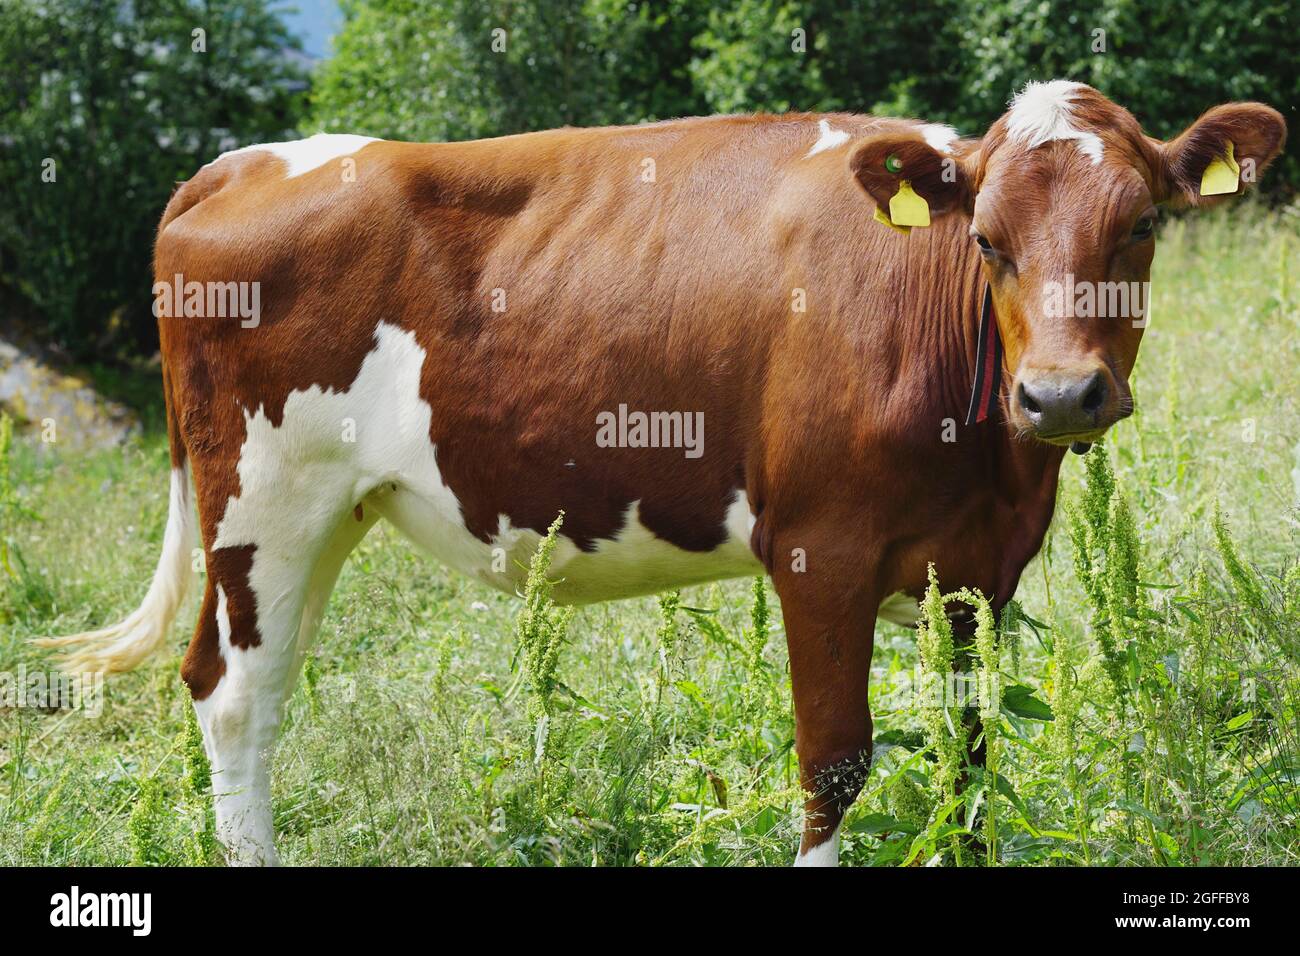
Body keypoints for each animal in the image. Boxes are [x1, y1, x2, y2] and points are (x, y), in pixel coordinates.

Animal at [38, 80, 1285, 866]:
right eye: (984, 237)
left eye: (1142, 225)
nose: (1061, 396)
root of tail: (248, 157)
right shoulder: (817, 548)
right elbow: (832, 763)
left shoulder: (976, 567)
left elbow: (969, 760)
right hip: (261, 499)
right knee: (234, 694)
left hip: (323, 509)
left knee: (255, 683)